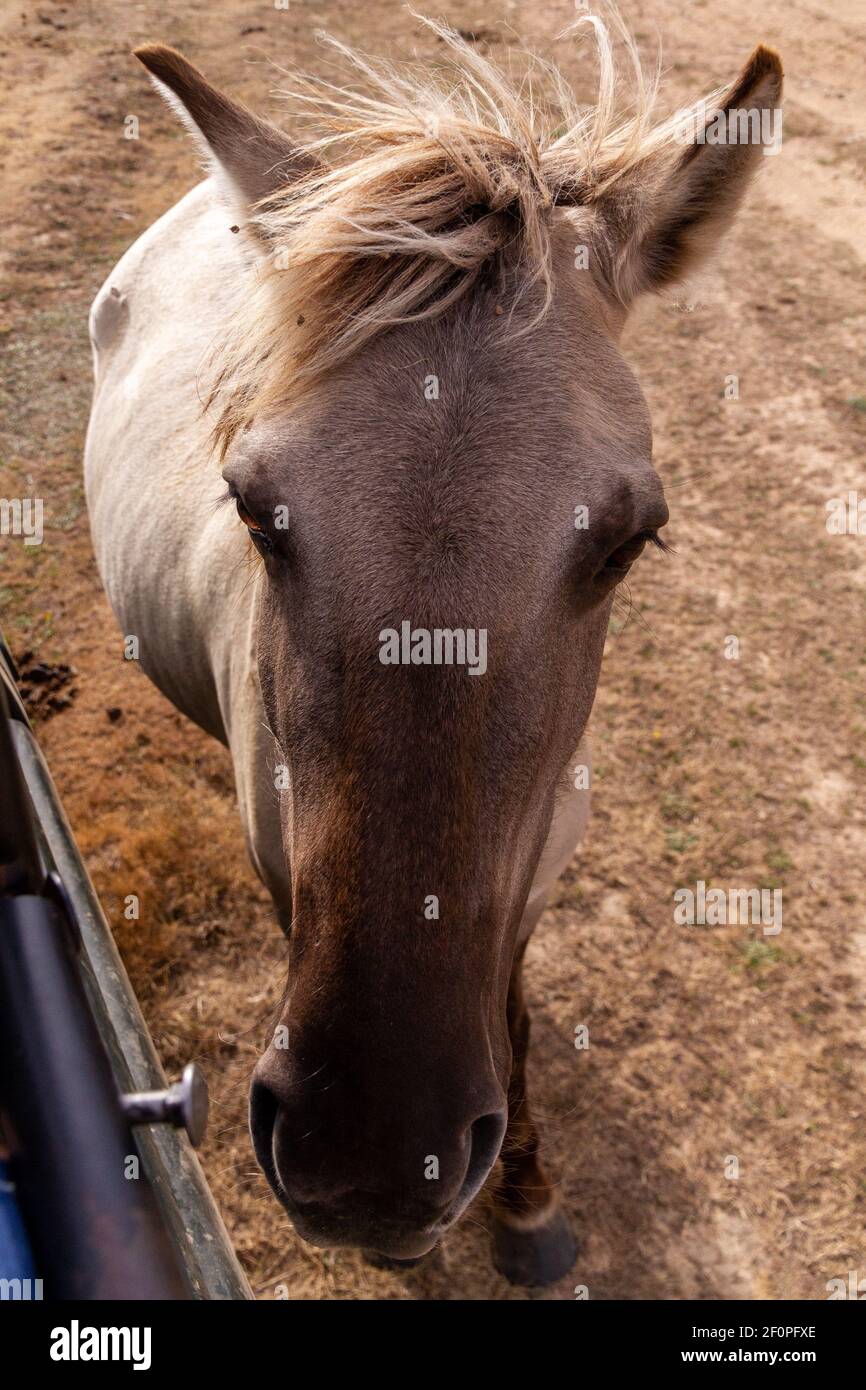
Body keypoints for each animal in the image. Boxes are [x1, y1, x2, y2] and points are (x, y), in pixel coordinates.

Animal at [84, 16, 782, 1287]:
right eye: (253, 509)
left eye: (628, 540)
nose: (370, 1148)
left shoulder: (533, 871)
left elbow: (510, 1007)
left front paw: (528, 1201)